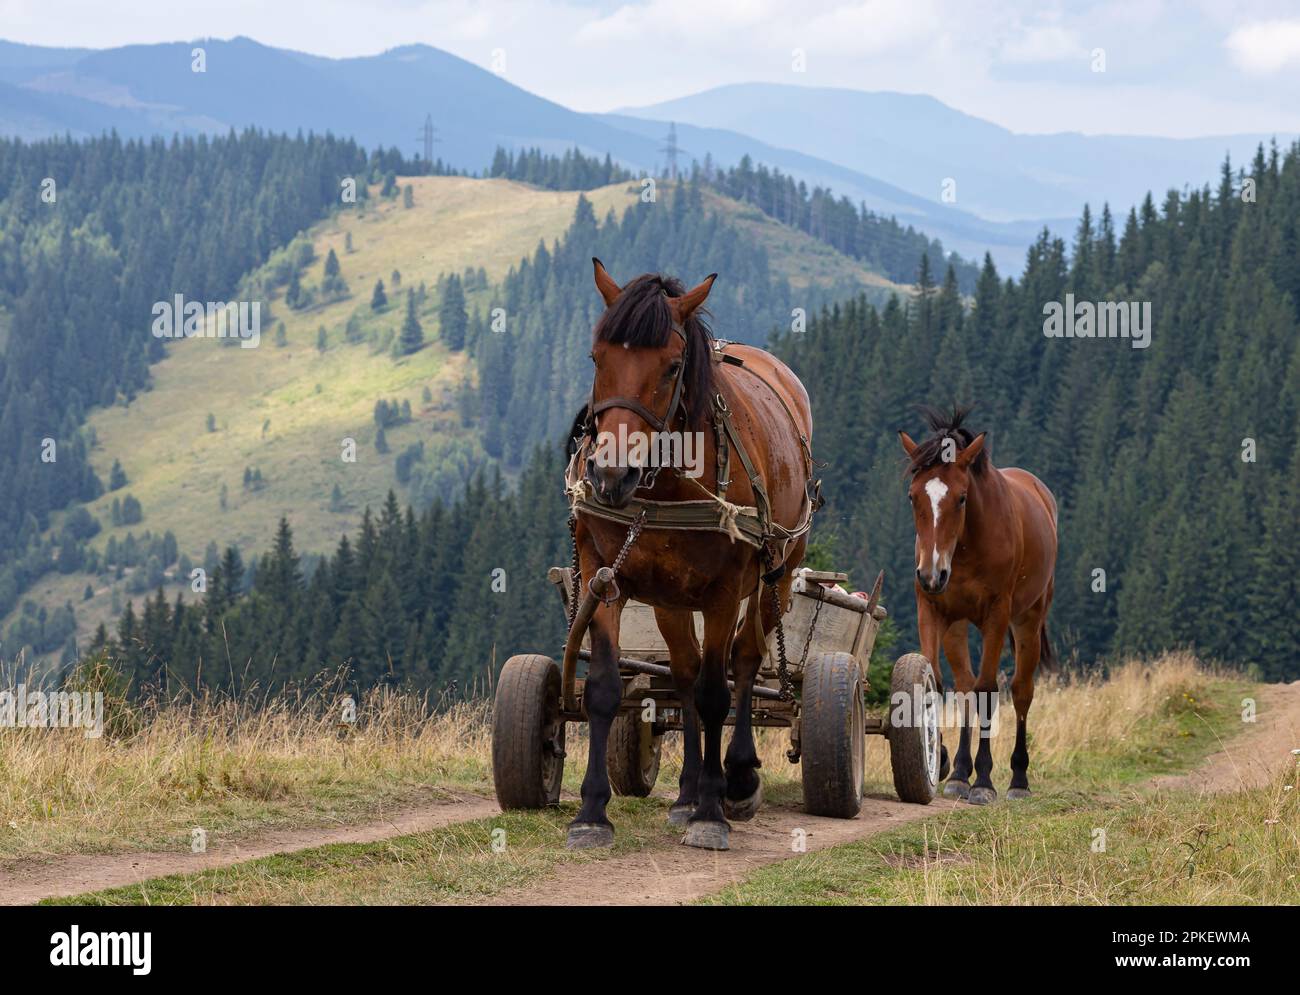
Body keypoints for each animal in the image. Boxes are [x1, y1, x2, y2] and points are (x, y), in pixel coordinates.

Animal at [565, 259, 817, 851]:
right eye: (596, 357)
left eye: (672, 365)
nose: (611, 475)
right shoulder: (603, 576)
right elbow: (607, 689)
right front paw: (592, 812)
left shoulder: (725, 590)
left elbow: (715, 692)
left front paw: (710, 812)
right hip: (669, 598)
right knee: (682, 671)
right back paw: (684, 793)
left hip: (777, 573)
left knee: (742, 662)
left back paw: (735, 779)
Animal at [898, 406, 1057, 804]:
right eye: (912, 496)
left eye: (961, 498)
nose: (931, 574)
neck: (966, 547)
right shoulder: (932, 611)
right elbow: (937, 682)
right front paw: (939, 759)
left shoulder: (996, 617)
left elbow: (988, 689)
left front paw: (984, 780)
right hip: (956, 626)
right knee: (964, 688)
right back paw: (958, 773)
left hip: (1028, 621)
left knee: (1021, 690)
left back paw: (1017, 779)